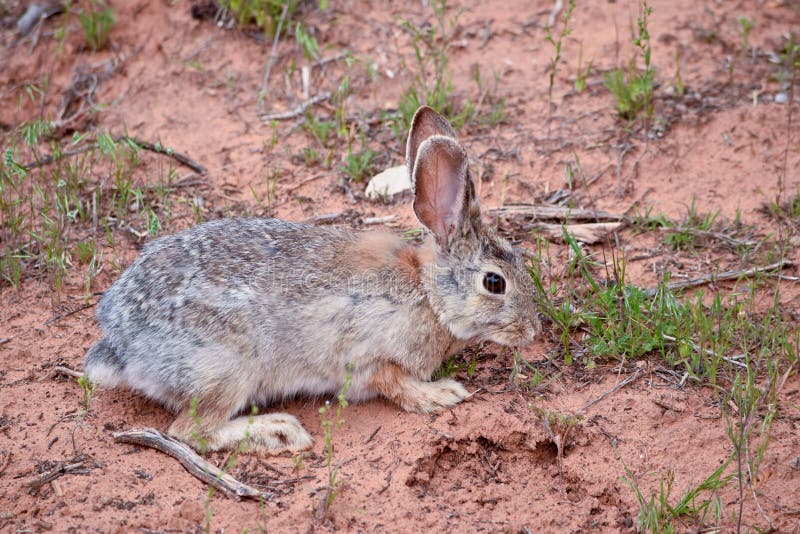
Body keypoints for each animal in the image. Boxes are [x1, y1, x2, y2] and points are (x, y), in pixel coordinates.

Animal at [83, 106, 541, 455]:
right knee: (190, 431)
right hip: (226, 372)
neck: (430, 295)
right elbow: (395, 384)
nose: (534, 329)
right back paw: (278, 431)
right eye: (495, 283)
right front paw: (442, 394)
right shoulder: (370, 353)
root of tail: (122, 345)